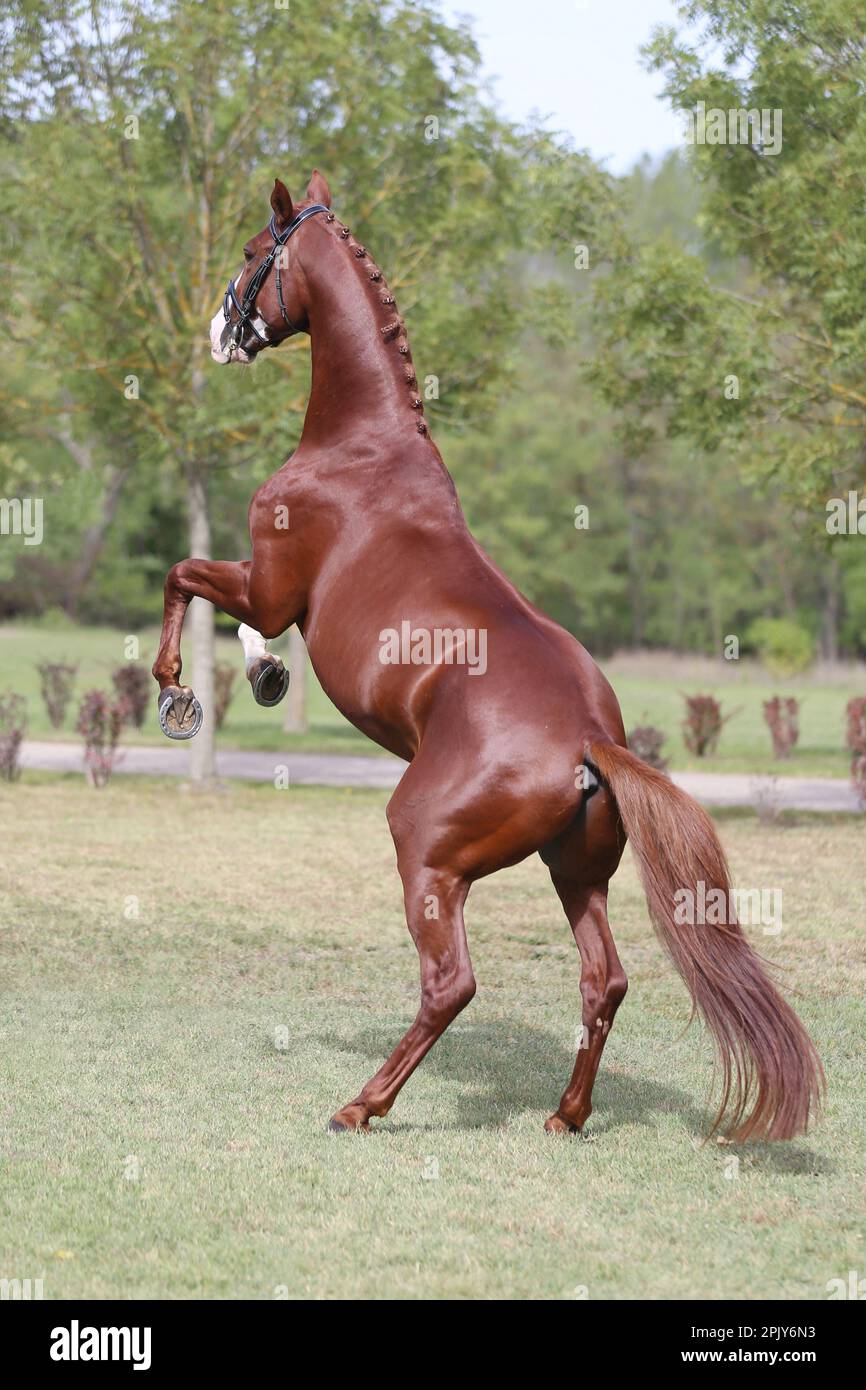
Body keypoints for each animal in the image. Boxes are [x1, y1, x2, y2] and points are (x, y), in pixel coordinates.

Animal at [152, 170, 823, 1140]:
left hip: (428, 854)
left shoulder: (272, 588)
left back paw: (362, 1106)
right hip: (575, 873)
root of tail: (592, 740)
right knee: (603, 980)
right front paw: (264, 676)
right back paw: (565, 1116)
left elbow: (189, 580)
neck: (361, 448)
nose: (219, 330)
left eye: (252, 253)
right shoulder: (272, 592)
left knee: (451, 984)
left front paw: (184, 692)